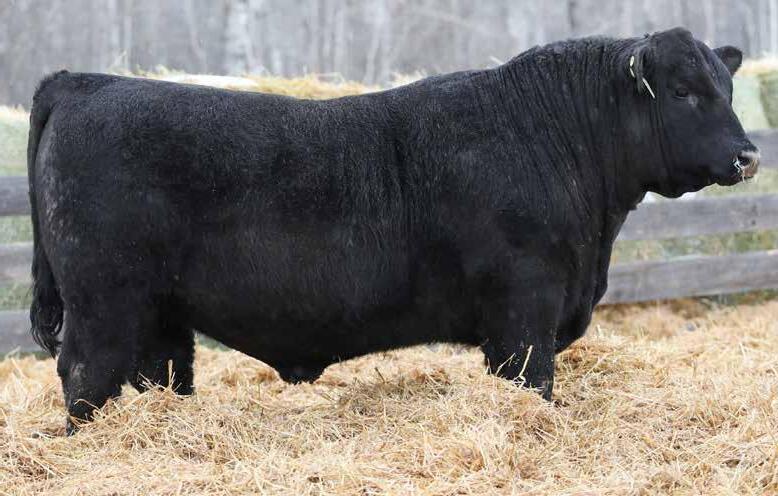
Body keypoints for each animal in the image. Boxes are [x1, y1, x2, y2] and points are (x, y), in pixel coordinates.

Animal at [27, 27, 758, 432]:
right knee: (84, 375)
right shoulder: (525, 309)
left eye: (725, 86)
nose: (748, 155)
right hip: (104, 301)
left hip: (159, 313)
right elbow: (533, 384)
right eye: (686, 92)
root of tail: (87, 82)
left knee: (159, 375)